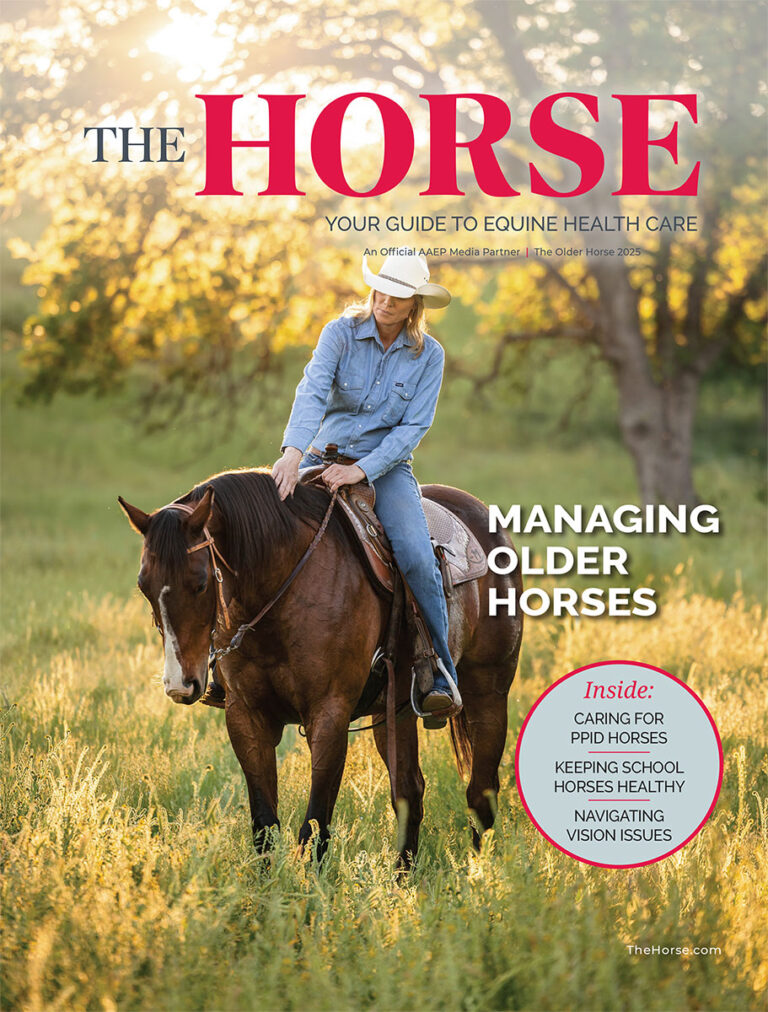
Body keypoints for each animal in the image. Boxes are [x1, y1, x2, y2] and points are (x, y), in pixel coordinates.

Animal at [119, 468, 523, 865]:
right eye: (143, 586)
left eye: (200, 583)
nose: (180, 684)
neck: (282, 589)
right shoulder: (245, 717)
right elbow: (264, 827)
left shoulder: (330, 715)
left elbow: (314, 831)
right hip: (395, 712)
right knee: (409, 791)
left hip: (488, 693)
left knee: (481, 793)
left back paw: (476, 873)